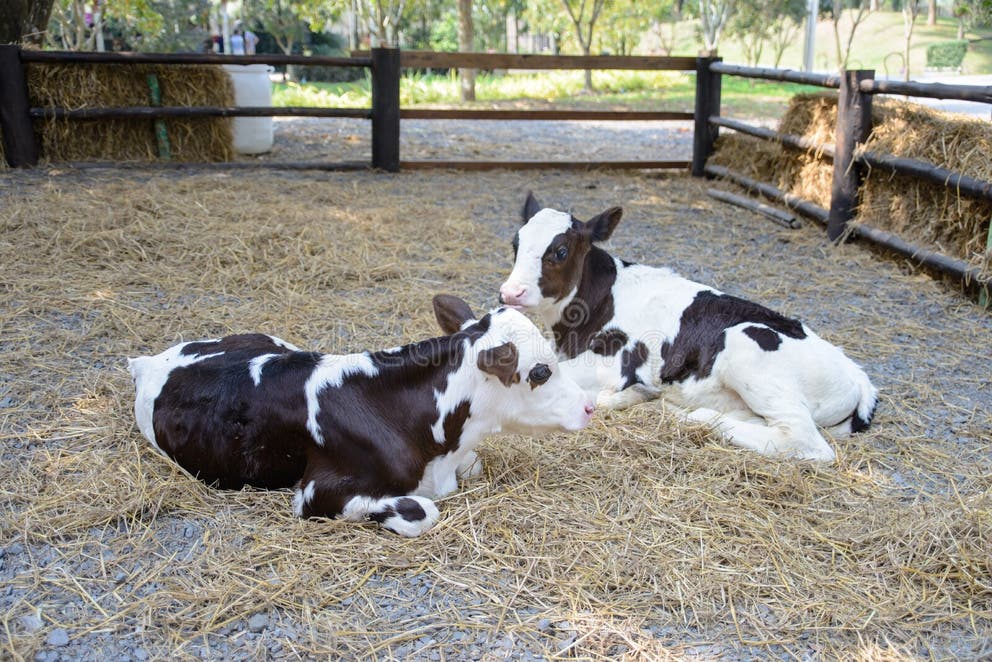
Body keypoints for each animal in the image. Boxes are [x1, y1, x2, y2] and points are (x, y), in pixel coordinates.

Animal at [127, 294, 594, 536]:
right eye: (540, 371)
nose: (589, 406)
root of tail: (150, 361)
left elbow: (474, 466)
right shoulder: (315, 493)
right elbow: (422, 512)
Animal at [497, 192, 878, 462]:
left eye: (560, 251)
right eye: (516, 244)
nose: (510, 292)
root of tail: (856, 374)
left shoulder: (618, 359)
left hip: (746, 346)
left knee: (803, 441)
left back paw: (688, 415)